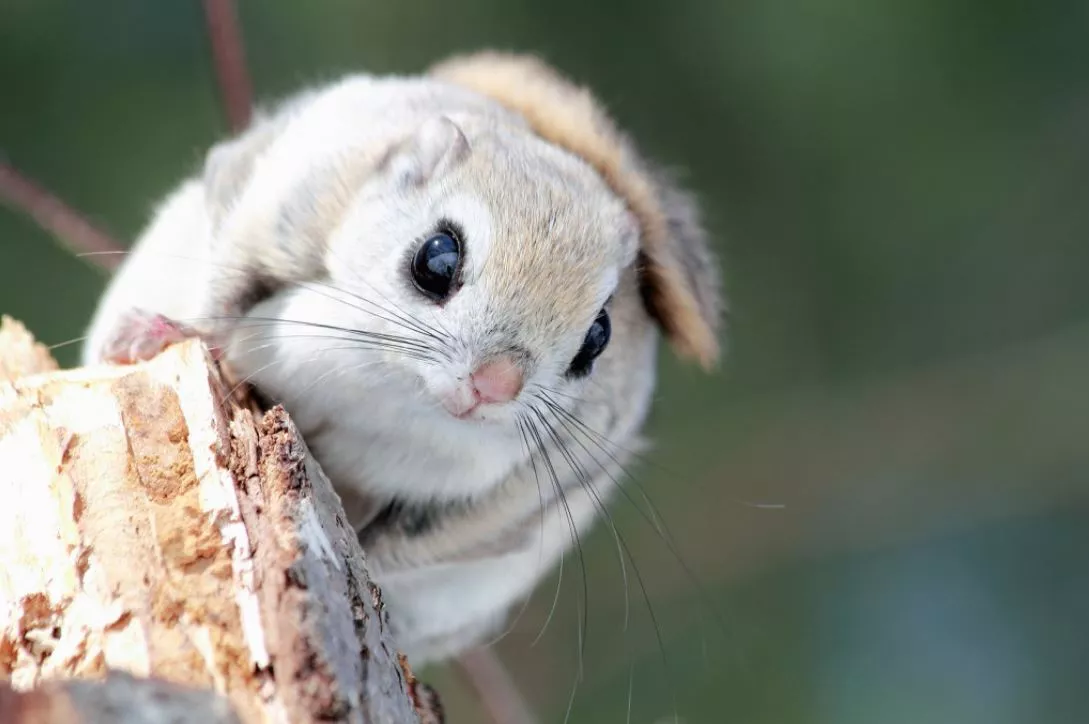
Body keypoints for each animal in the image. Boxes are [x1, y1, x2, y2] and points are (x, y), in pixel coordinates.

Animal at [81, 50, 725, 666]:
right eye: (437, 257)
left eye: (599, 335)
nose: (495, 384)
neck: (394, 385)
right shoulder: (296, 190)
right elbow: (229, 272)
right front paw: (172, 329)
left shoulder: (558, 474)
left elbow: (432, 535)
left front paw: (368, 566)